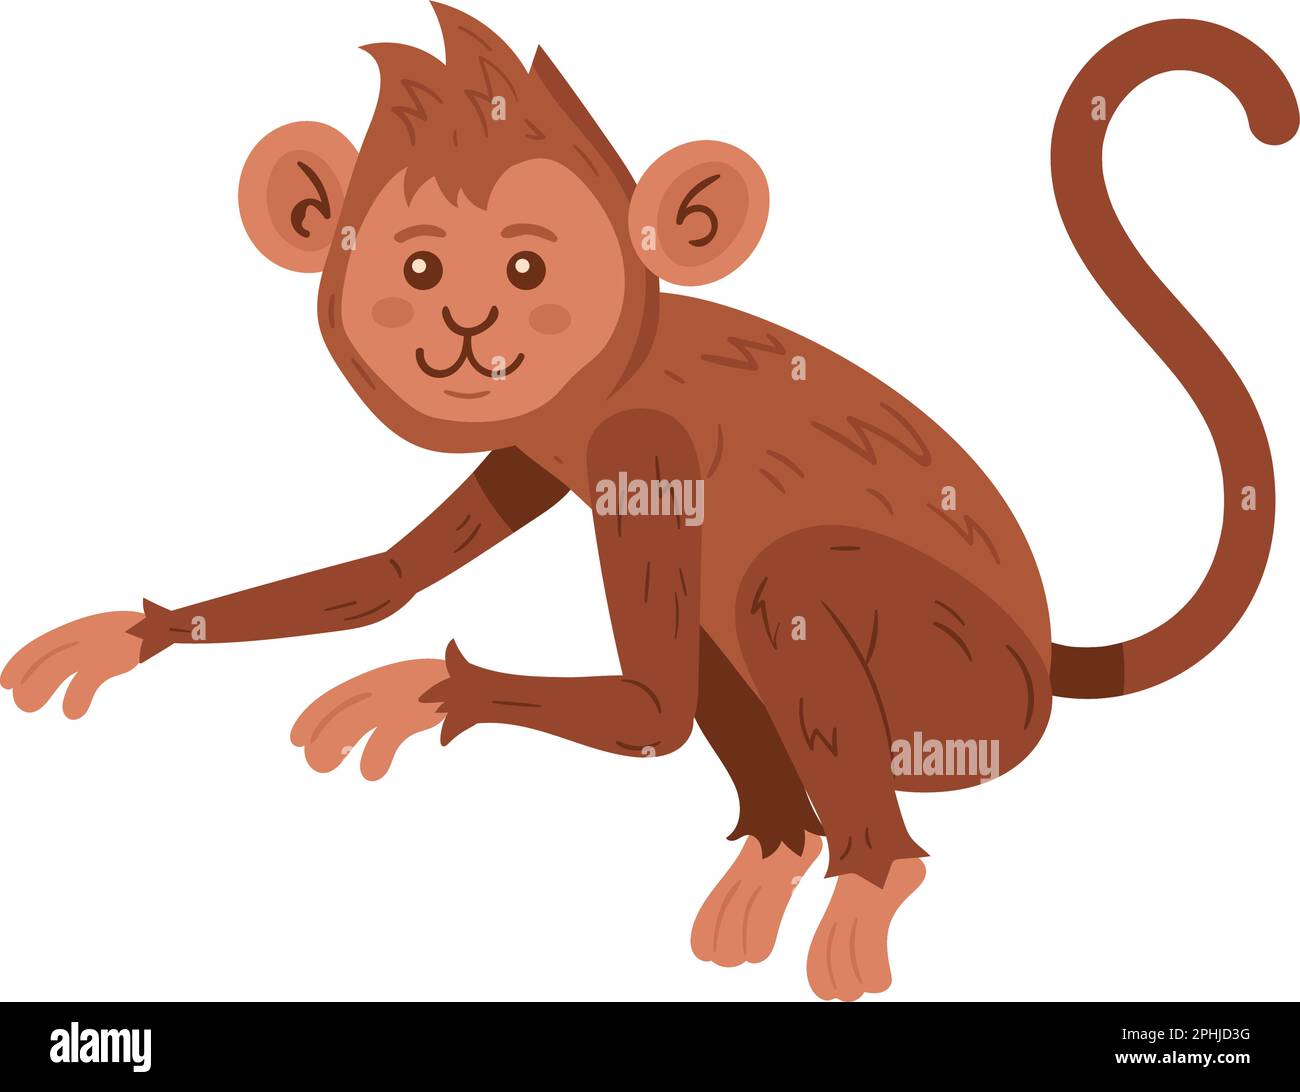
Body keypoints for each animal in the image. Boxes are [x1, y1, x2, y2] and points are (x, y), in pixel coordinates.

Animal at [2, 8, 1289, 1000]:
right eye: (418, 267)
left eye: (527, 267)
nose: (466, 324)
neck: (608, 379)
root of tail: (1045, 655)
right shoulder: (533, 444)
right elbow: (387, 580)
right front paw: (134, 633)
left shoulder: (639, 444)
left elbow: (653, 709)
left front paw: (433, 690)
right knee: (732, 637)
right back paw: (778, 853)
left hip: (968, 696)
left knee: (781, 592)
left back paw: (870, 878)